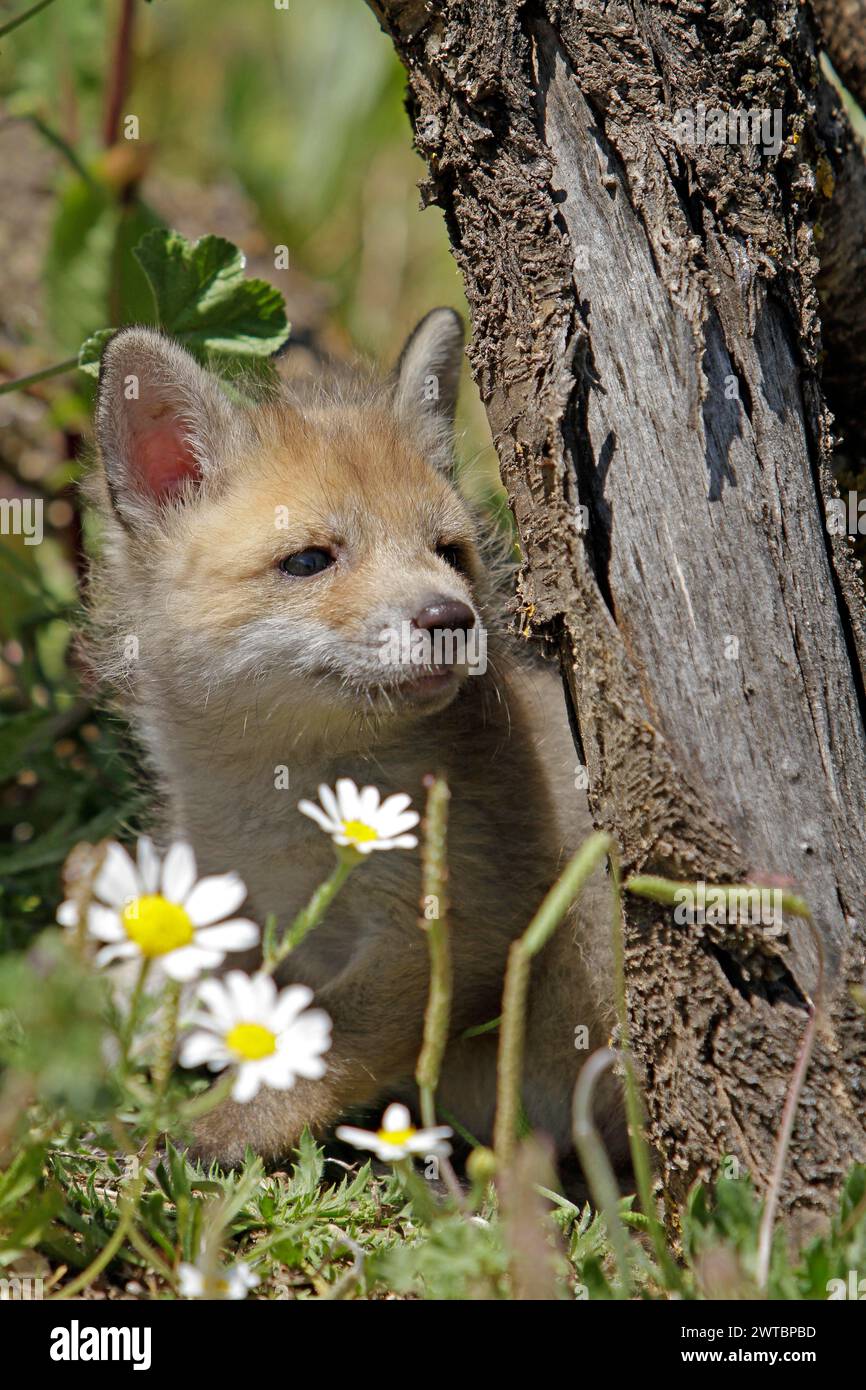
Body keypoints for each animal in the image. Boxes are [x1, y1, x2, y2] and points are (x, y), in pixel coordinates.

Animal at [86, 308, 625, 1169]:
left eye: (449, 553)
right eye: (309, 560)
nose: (450, 618)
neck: (282, 801)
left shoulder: (460, 927)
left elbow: (319, 1037)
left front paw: (214, 1127)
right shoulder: (236, 908)